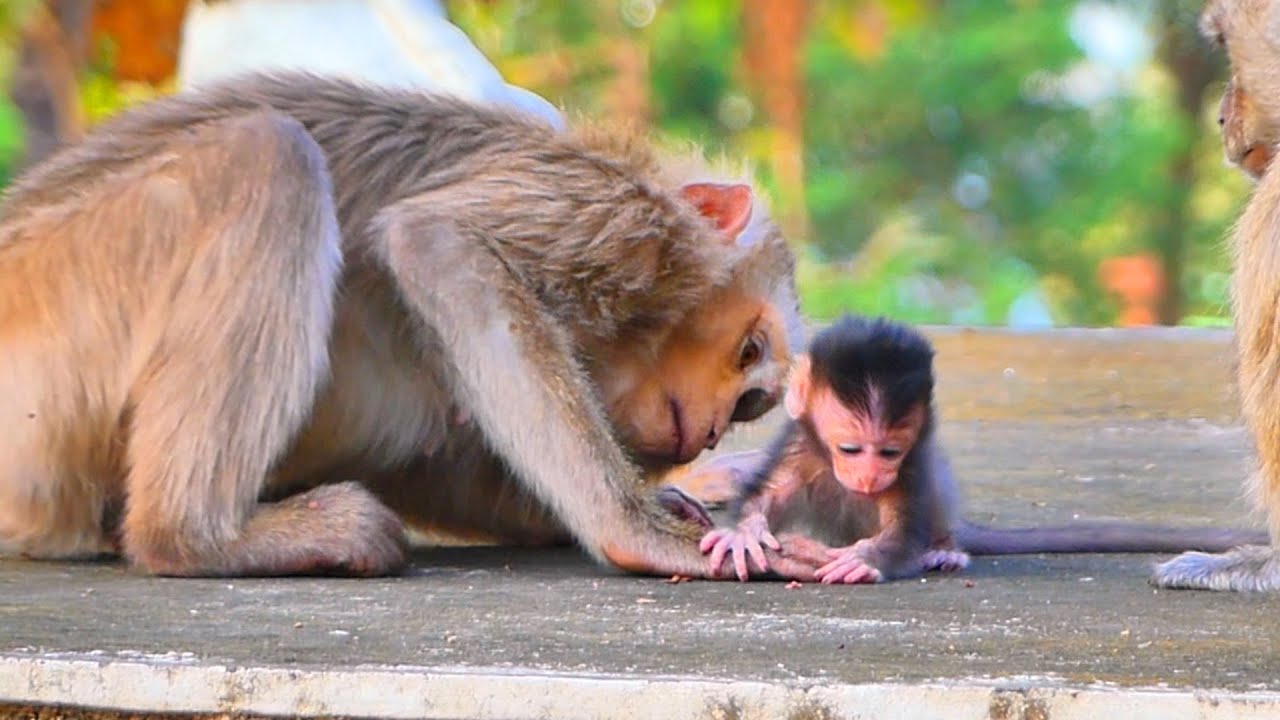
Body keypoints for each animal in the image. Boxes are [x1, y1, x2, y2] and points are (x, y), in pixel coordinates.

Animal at [0, 71, 822, 580]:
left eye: (749, 404)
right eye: (747, 351)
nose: (712, 431)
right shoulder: (620, 220)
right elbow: (437, 241)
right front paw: (639, 530)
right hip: (54, 312)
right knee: (271, 157)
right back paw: (192, 537)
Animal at [697, 315, 1269, 583]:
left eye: (890, 453)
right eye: (850, 448)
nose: (871, 479)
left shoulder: (914, 467)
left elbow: (902, 532)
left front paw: (866, 559)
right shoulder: (800, 443)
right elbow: (766, 496)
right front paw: (743, 533)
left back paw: (946, 547)